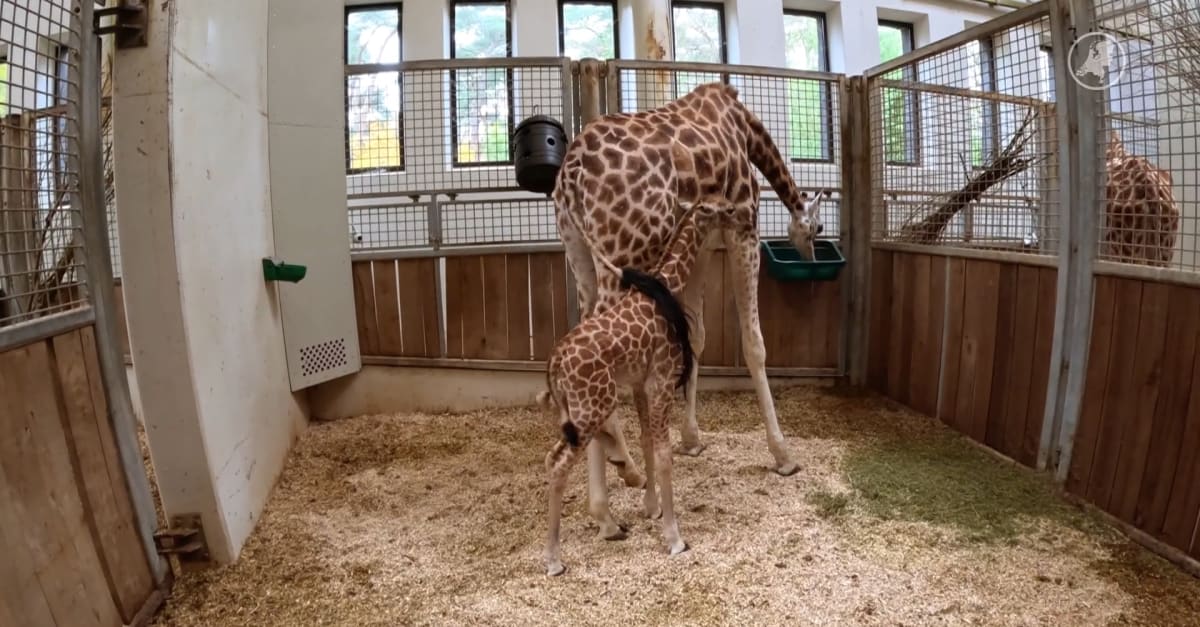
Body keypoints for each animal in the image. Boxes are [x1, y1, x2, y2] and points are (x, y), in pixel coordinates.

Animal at [537, 193, 738, 577]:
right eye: (724, 208)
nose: (739, 216)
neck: (668, 284)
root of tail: (554, 364)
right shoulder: (662, 380)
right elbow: (664, 454)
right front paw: (675, 539)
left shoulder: (642, 385)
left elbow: (646, 442)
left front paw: (652, 508)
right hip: (593, 406)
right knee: (558, 463)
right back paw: (554, 560)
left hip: (577, 411)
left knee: (551, 457)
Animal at [550, 81, 828, 540]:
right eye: (817, 228)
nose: (812, 255)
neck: (747, 130)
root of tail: (570, 176)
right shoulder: (743, 227)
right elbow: (753, 343)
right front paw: (783, 453)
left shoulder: (702, 241)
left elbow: (696, 336)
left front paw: (691, 437)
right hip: (623, 253)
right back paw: (611, 498)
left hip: (582, 260)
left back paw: (619, 482)